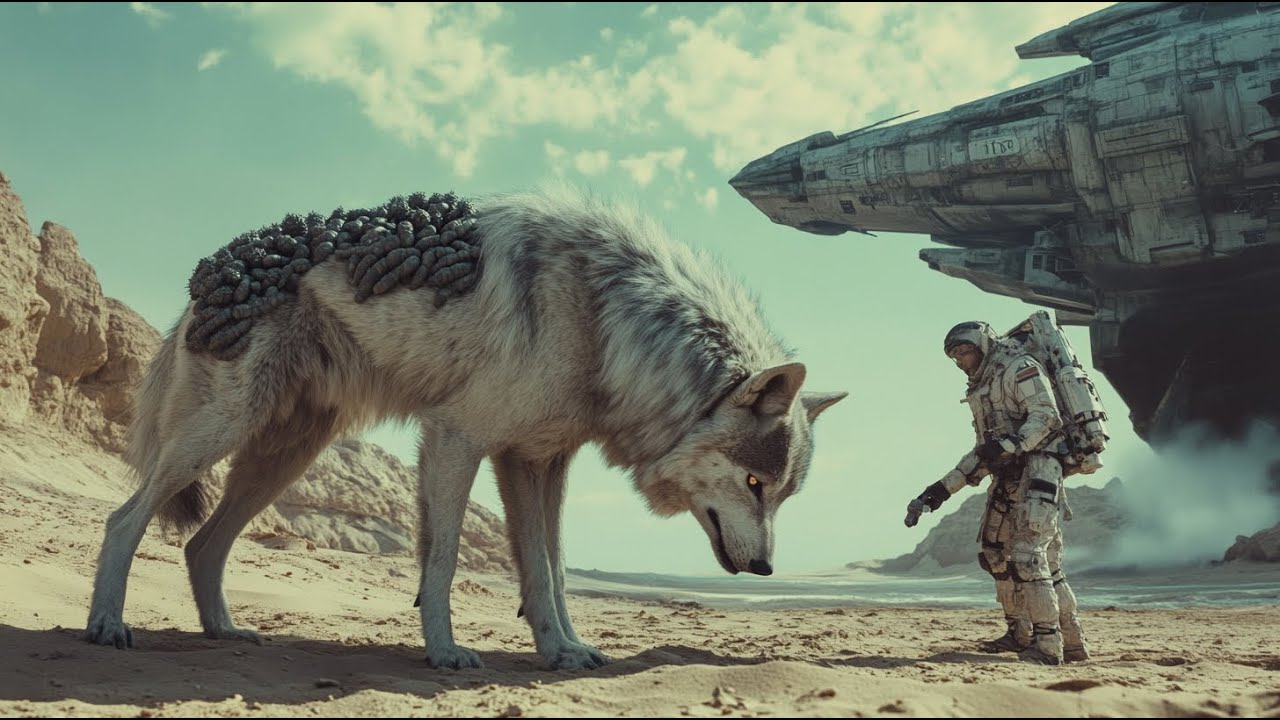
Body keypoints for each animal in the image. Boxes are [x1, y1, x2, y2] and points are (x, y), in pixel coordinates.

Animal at [83, 186, 848, 670]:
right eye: (755, 483)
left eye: (781, 493)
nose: (767, 570)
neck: (607, 319)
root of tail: (203, 274)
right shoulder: (457, 438)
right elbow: (445, 560)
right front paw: (446, 652)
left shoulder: (534, 462)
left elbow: (550, 573)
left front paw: (564, 651)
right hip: (215, 438)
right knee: (123, 520)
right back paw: (107, 626)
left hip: (281, 459)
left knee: (200, 545)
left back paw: (226, 632)